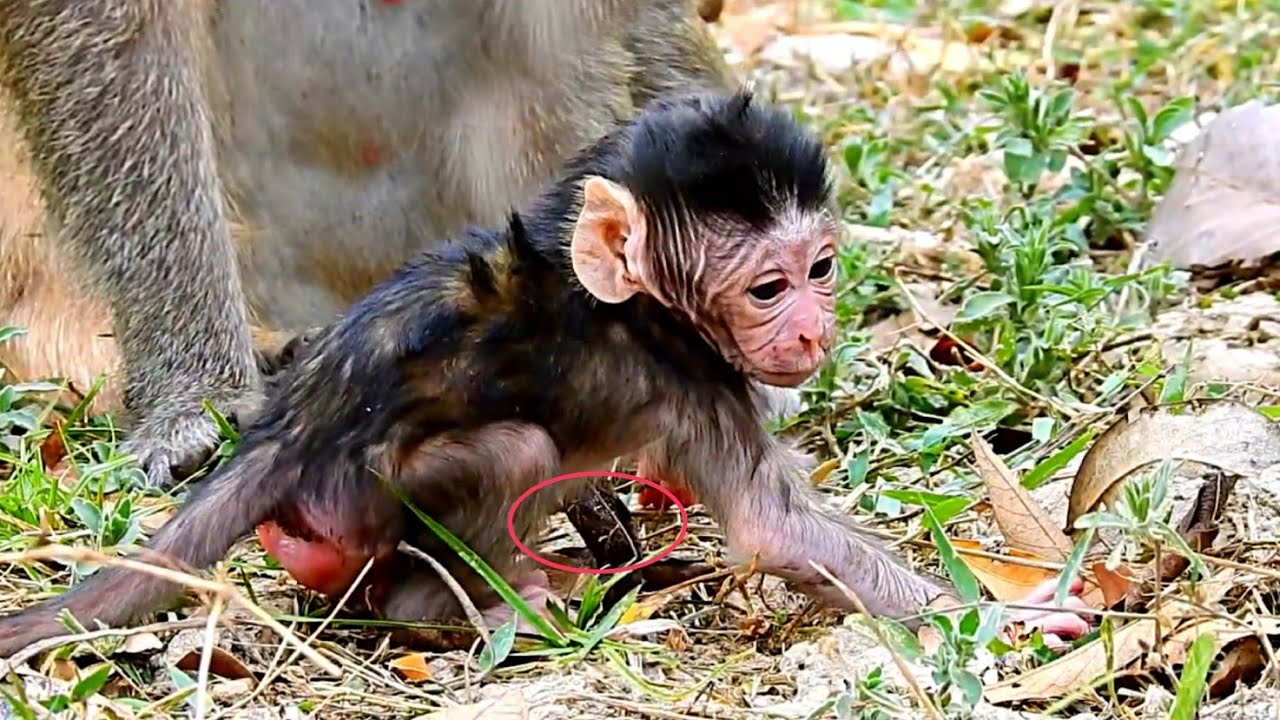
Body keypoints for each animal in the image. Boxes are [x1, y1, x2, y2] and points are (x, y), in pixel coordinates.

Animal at [0, 90, 1091, 657]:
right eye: (769, 287)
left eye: (821, 269)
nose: (814, 330)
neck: (637, 301)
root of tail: (288, 434)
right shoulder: (691, 374)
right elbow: (774, 530)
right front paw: (1015, 610)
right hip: (358, 497)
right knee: (514, 450)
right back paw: (474, 606)